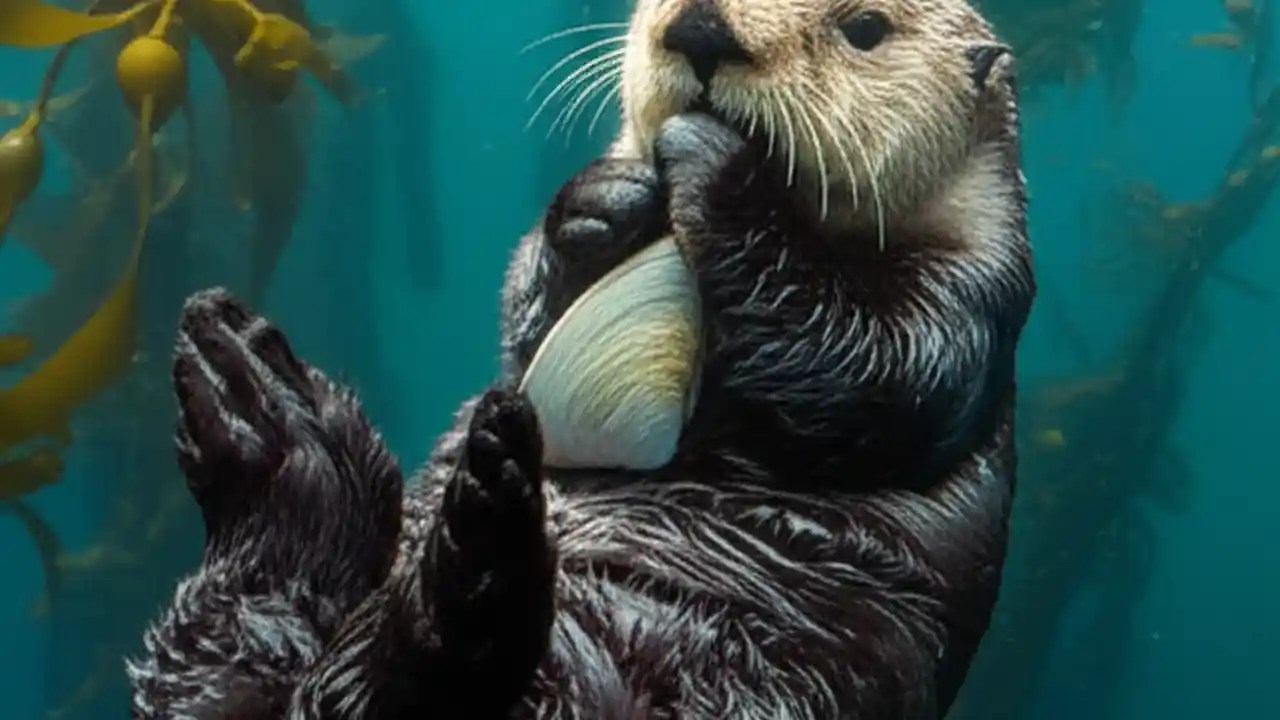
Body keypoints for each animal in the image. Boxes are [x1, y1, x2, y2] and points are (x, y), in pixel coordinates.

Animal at [127, 0, 1034, 718]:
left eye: (865, 29)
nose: (700, 29)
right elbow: (525, 312)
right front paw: (604, 199)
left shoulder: (973, 298)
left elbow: (863, 368)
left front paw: (715, 162)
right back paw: (268, 414)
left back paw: (466, 540)